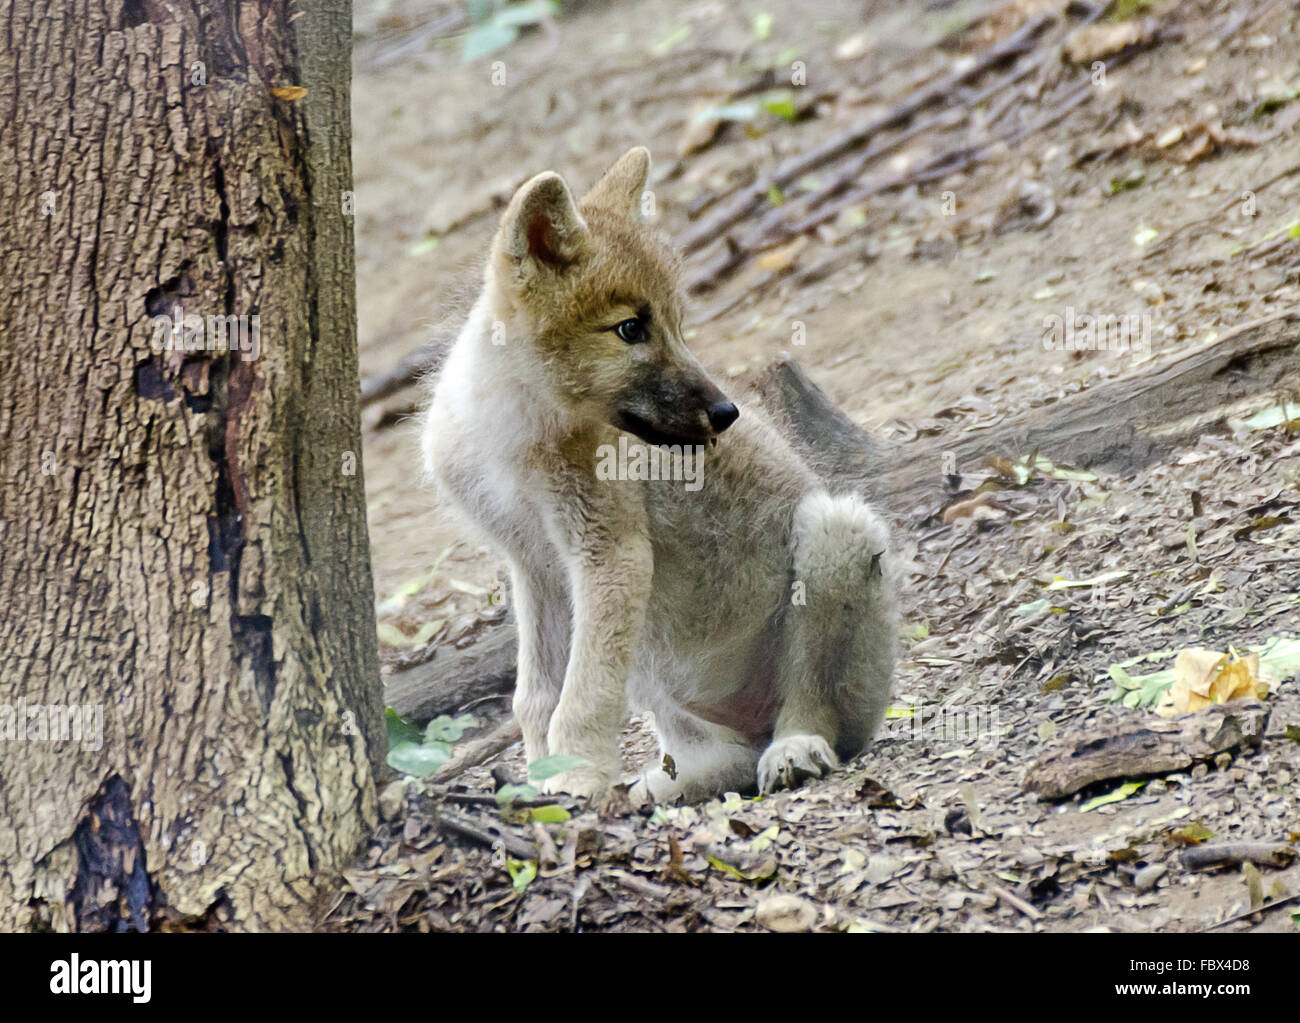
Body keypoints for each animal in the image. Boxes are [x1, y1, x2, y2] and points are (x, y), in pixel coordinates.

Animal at [422, 147, 896, 807]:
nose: (726, 413)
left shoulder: (609, 556)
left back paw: (795, 750)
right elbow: (535, 700)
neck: (508, 432)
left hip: (833, 528)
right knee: (728, 763)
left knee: (813, 715)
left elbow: (581, 701)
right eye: (630, 329)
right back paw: (664, 788)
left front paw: (572, 782)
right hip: (656, 673)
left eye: (676, 323)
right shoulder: (534, 566)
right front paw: (541, 788)